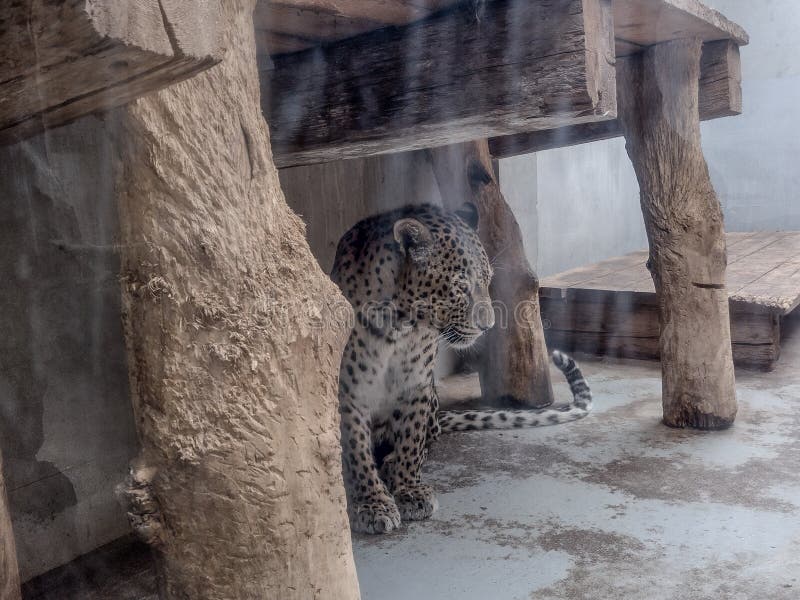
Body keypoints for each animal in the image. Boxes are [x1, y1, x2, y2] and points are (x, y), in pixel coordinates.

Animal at [331, 202, 592, 534]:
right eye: (459, 285)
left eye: (488, 279)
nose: (488, 326)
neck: (400, 326)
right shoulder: (349, 392)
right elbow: (356, 451)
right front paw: (372, 503)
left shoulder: (417, 383)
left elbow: (411, 440)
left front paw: (408, 489)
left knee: (428, 438)